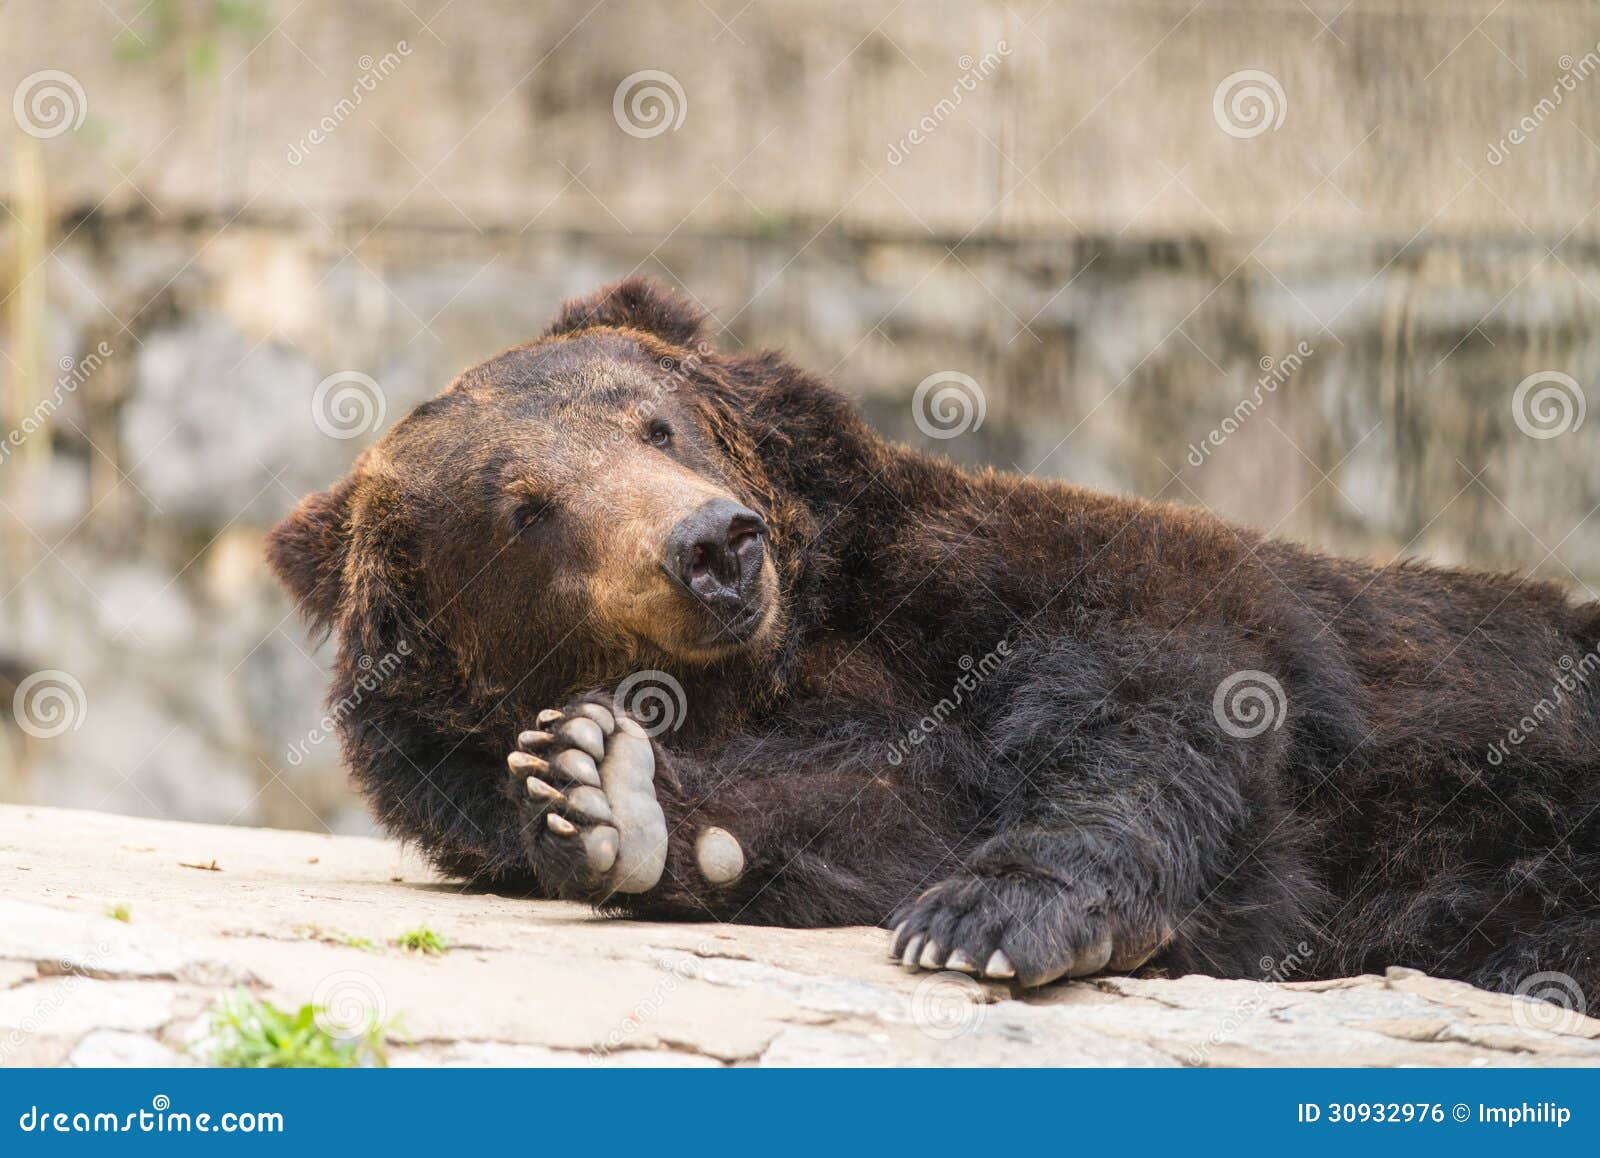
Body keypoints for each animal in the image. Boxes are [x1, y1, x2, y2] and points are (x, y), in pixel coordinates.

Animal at [267, 276, 1600, 995]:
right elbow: (873, 817)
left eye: (652, 421)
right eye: (526, 508)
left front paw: (991, 918)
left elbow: (1153, 716)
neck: (785, 662)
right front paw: (606, 788)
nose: (712, 545)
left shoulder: (1034, 582)